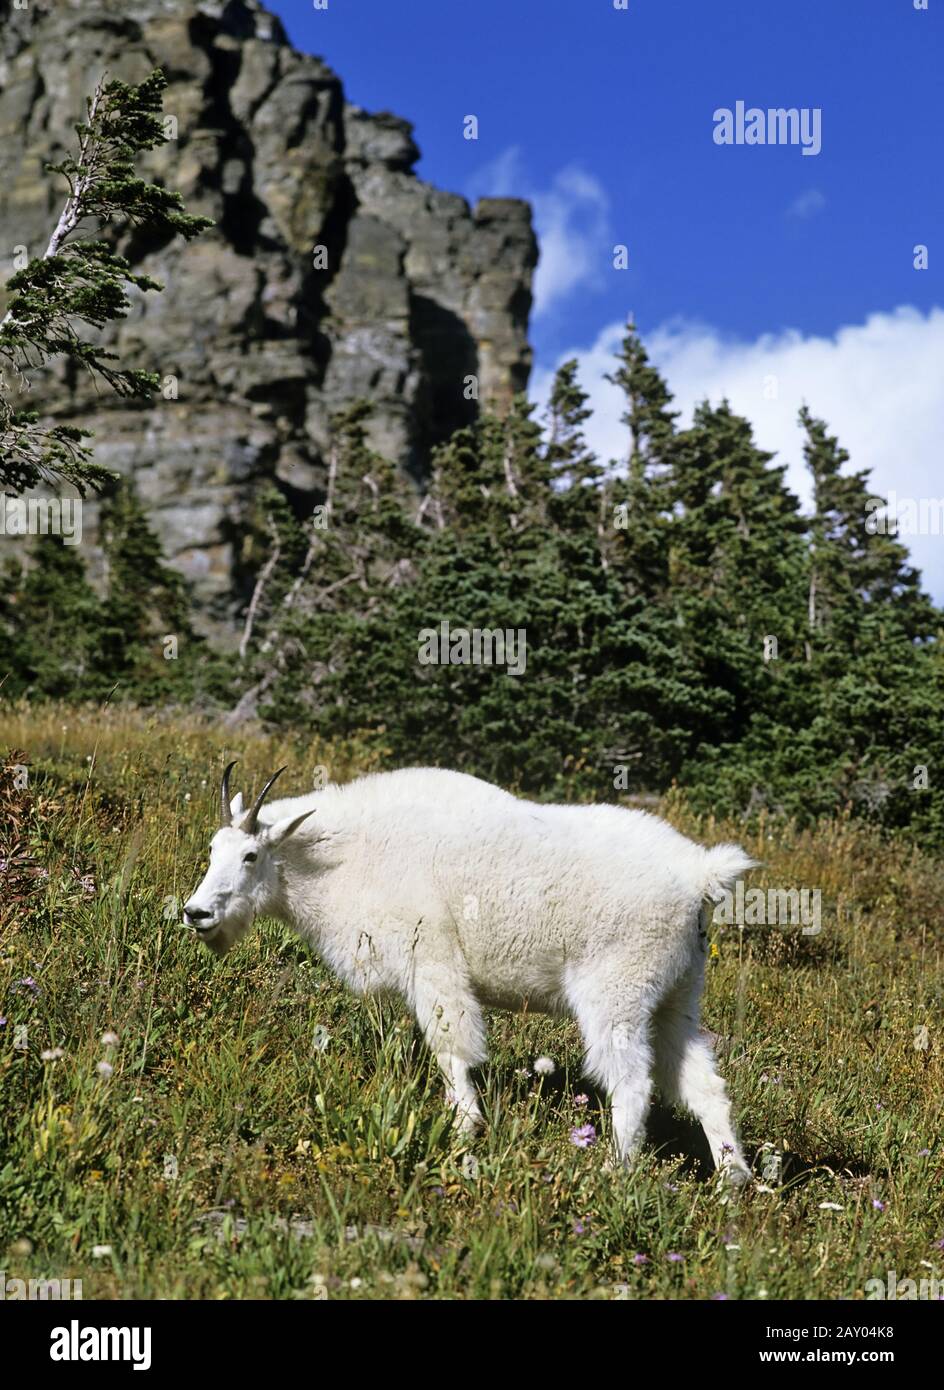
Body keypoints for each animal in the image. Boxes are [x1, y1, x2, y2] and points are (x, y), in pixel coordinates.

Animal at [183, 762, 755, 1179]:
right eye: (212, 849)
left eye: (251, 855)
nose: (197, 913)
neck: (347, 856)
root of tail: (700, 875)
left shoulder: (433, 964)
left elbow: (452, 1048)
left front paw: (463, 1134)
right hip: (677, 995)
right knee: (704, 1086)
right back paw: (733, 1182)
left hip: (617, 993)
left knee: (632, 1082)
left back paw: (615, 1172)